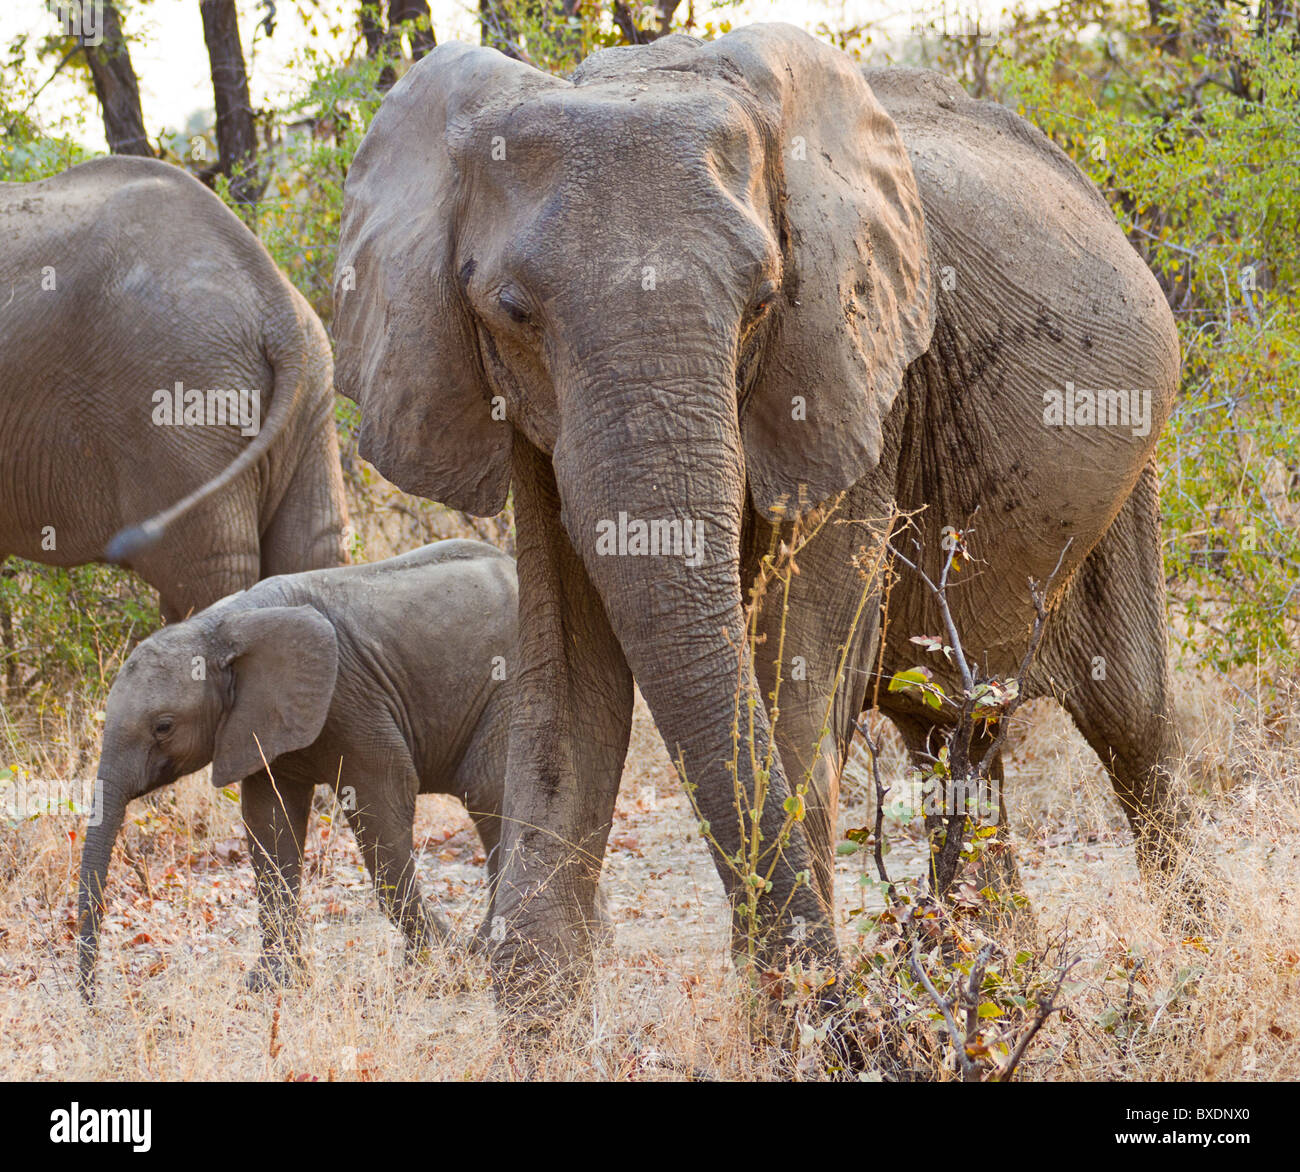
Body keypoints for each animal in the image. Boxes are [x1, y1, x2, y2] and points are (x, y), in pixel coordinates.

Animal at [75, 540, 517, 996]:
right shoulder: (257, 721)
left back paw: (487, 948)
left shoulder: (350, 697)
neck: (220, 627)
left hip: (509, 690)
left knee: (488, 795)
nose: (92, 998)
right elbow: (269, 821)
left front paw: (437, 959)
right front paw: (271, 983)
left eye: (163, 727)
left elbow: (382, 798)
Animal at [332, 25, 1186, 1026]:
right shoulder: (529, 443)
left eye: (762, 302)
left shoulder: (858, 376)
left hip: (1134, 468)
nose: (853, 1024)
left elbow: (797, 675)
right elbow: (568, 693)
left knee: (1134, 723)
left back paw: (1176, 962)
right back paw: (995, 983)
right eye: (512, 313)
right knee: (955, 734)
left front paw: (795, 1015)